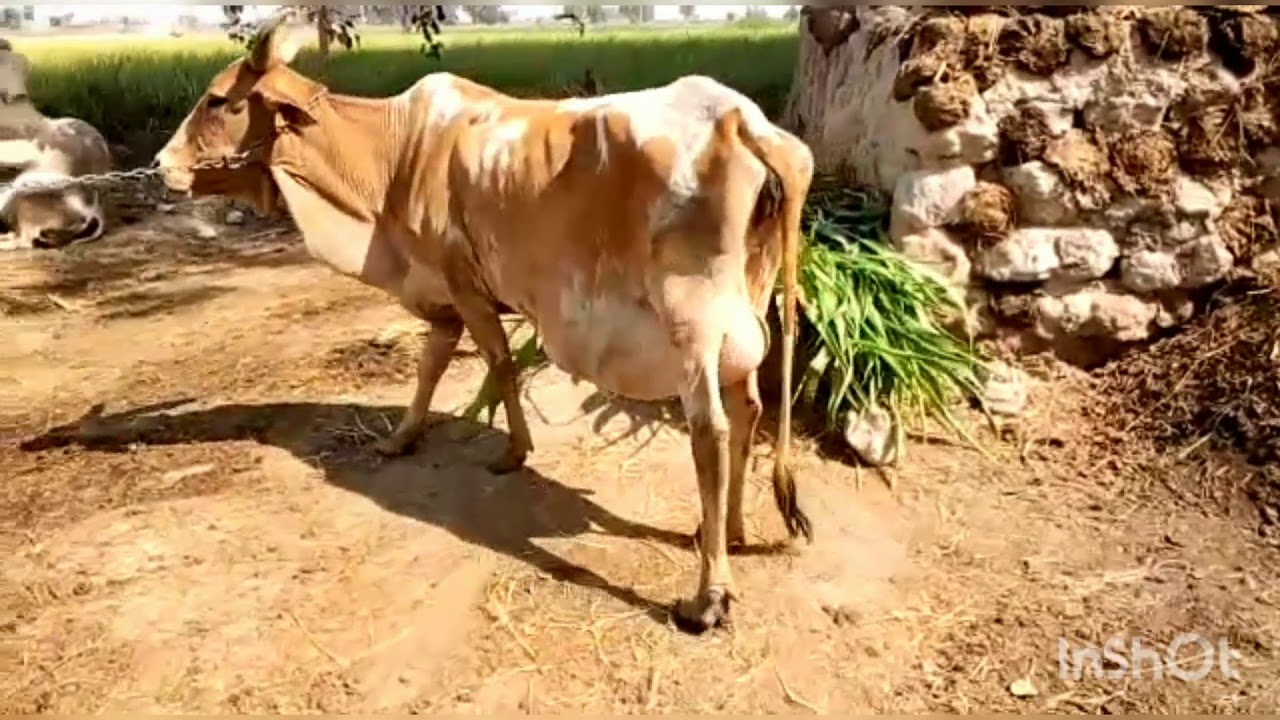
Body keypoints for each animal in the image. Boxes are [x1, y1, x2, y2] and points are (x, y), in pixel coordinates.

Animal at [153, 16, 815, 633]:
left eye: (218, 100)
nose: (161, 164)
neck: (392, 156)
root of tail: (741, 118)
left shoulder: (465, 285)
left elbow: (497, 364)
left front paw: (514, 451)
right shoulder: (444, 297)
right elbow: (430, 365)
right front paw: (401, 437)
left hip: (693, 324)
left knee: (712, 433)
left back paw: (709, 595)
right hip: (746, 310)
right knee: (750, 408)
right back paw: (728, 529)